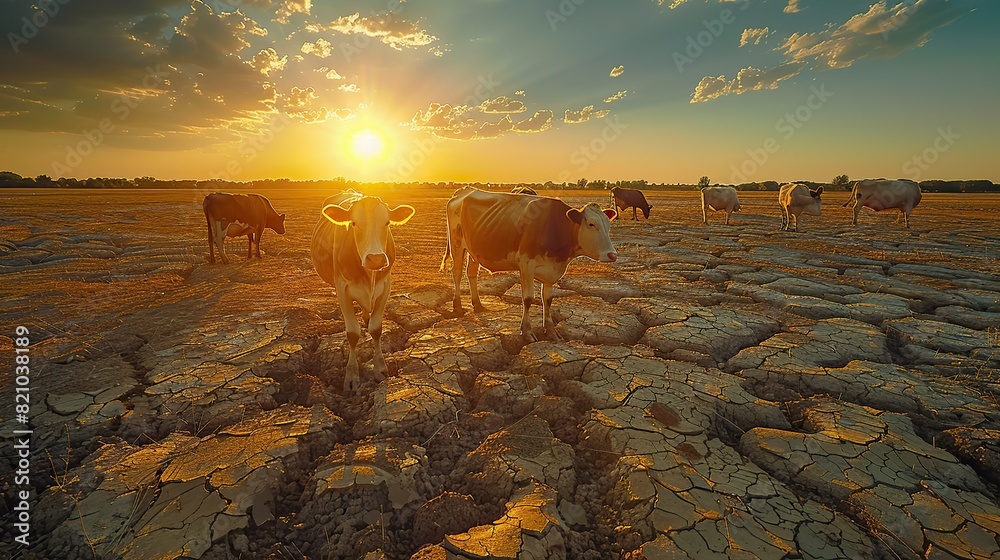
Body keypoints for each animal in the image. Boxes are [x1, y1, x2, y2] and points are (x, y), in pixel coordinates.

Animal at [311, 191, 415, 392]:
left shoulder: (386, 286)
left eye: (387, 222)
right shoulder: (342, 289)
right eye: (353, 223)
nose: (375, 259)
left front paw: (380, 368)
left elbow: (376, 328)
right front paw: (351, 376)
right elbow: (352, 333)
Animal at [441, 188, 617, 341]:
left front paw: (551, 331)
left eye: (608, 226)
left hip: (474, 250)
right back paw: (457, 306)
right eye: (592, 224)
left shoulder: (551, 270)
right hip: (457, 243)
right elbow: (528, 299)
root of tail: (465, 190)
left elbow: (548, 300)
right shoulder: (526, 264)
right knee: (457, 272)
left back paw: (477, 304)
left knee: (471, 273)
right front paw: (526, 332)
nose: (612, 254)